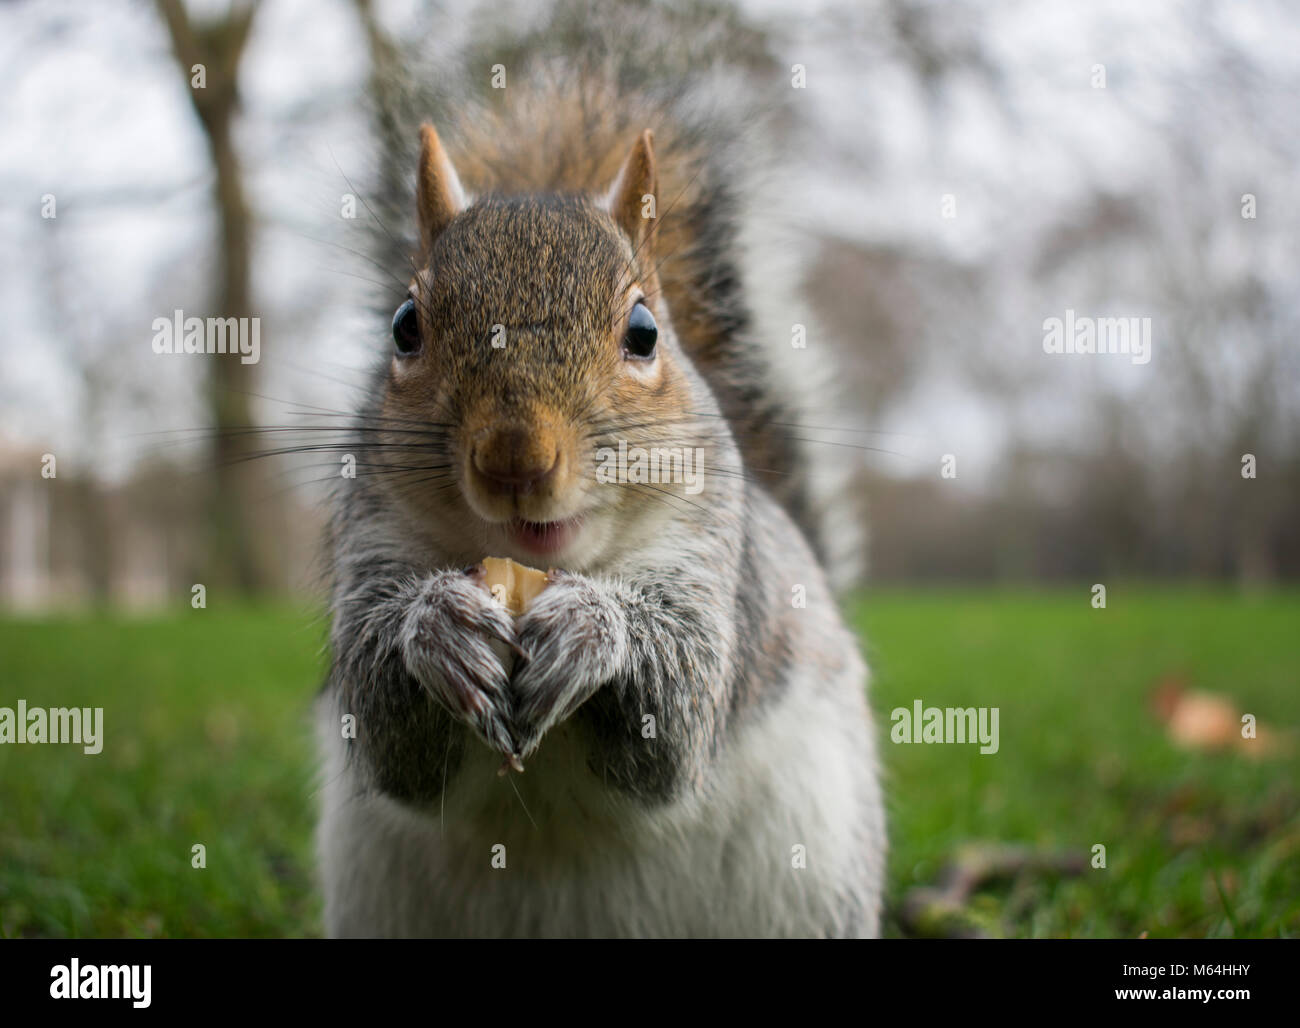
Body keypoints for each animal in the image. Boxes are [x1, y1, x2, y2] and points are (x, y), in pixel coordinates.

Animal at [314, 61, 885, 938]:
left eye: (644, 332)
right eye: (405, 326)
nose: (515, 457)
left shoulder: (715, 561)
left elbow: (675, 725)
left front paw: (592, 627)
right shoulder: (371, 540)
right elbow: (388, 736)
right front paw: (438, 626)